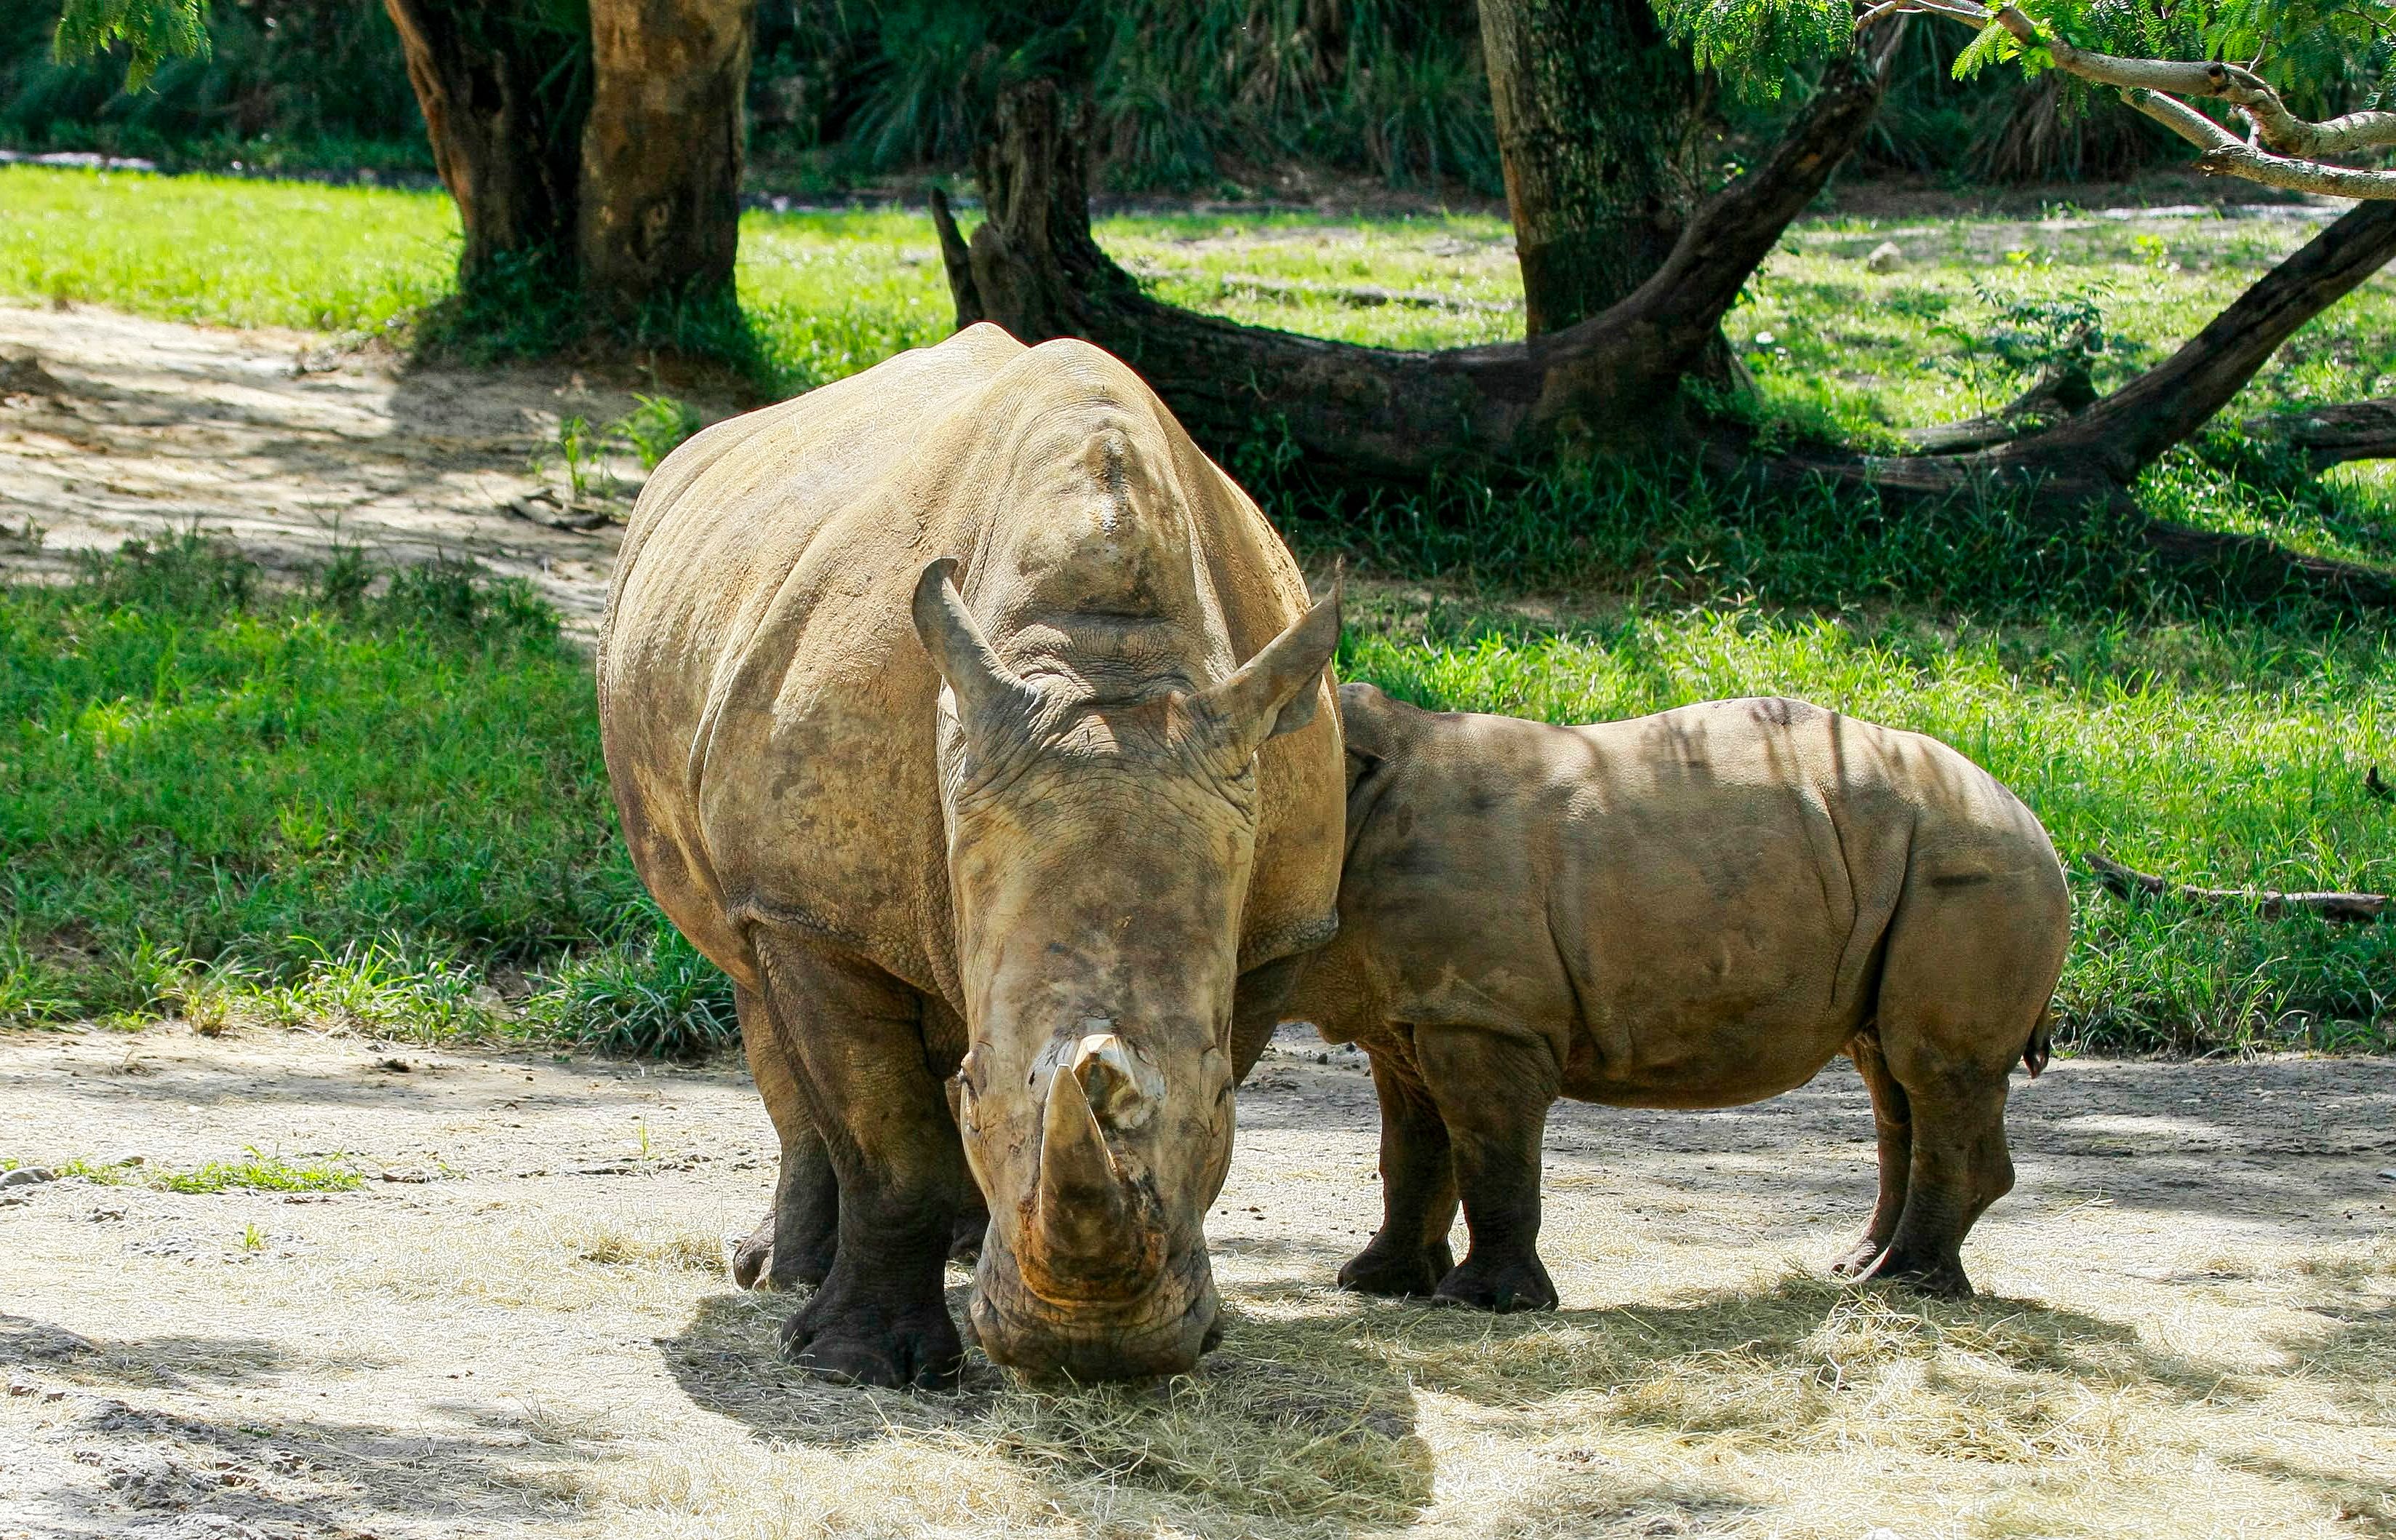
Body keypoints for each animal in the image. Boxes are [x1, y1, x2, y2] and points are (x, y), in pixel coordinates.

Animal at [599, 326, 1345, 1386]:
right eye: (976, 1094)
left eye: (1225, 1106)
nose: (1091, 1355)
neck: (1106, 661)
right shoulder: (818, 909)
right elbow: (886, 1139)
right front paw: (859, 1364)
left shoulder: (1281, 924)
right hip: (763, 842)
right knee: (754, 986)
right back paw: (780, 1275)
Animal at [1283, 684, 2071, 1308]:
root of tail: (2035, 818)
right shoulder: (1417, 1008)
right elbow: (1412, 1148)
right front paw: (1373, 1283)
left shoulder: (1483, 1015)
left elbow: (1487, 1142)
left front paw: (1480, 1303)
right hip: (1915, 860)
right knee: (1889, 1070)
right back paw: (1858, 1269)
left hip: (1976, 861)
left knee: (1930, 1069)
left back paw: (1905, 1285)